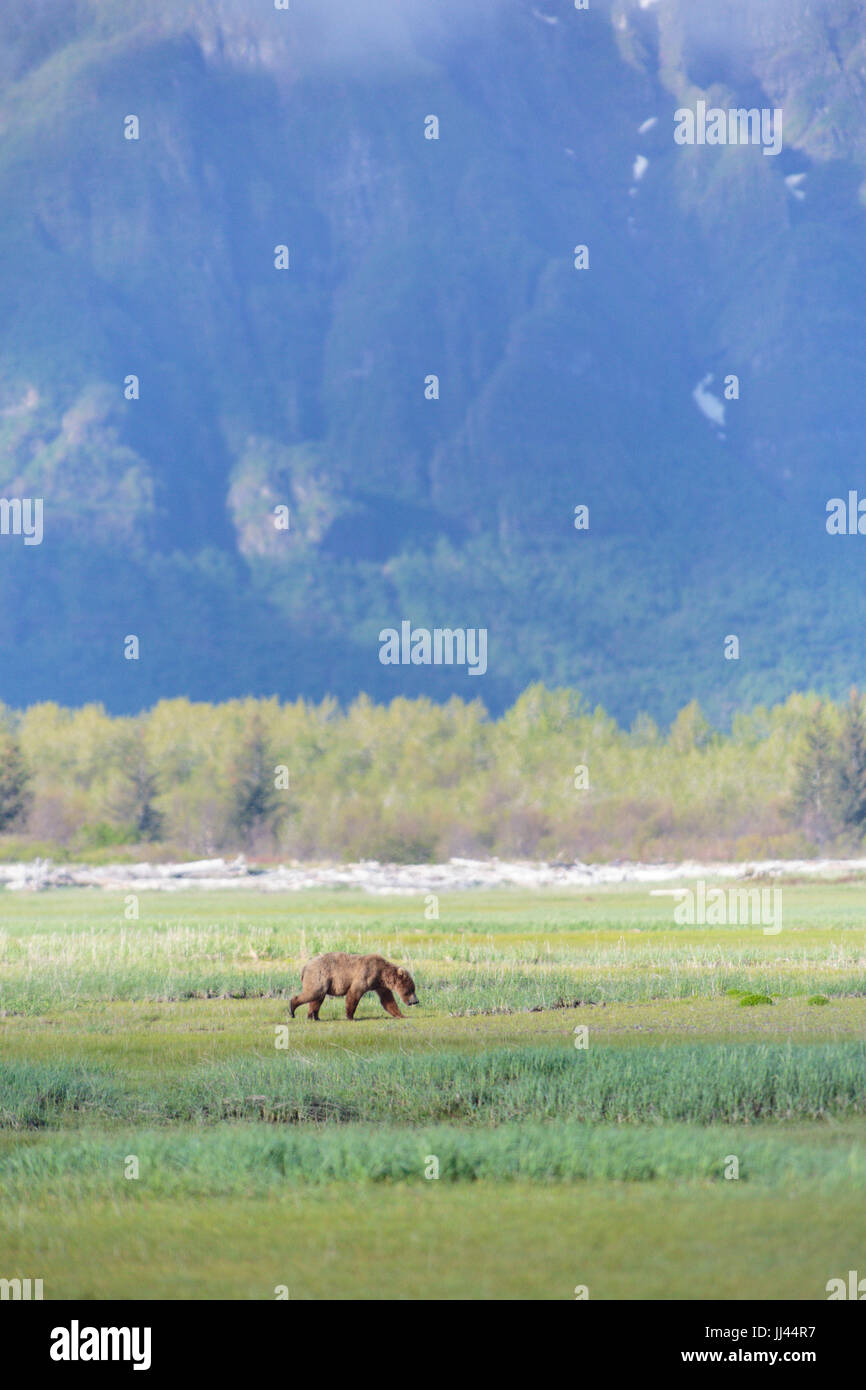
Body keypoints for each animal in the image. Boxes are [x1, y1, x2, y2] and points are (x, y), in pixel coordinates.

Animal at [289, 952, 419, 1021]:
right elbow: (354, 993)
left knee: (317, 998)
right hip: (319, 976)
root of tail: (305, 966)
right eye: (410, 990)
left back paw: (314, 1016)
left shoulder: (380, 985)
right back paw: (292, 1009)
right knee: (314, 993)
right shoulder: (366, 975)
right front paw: (350, 1016)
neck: (382, 974)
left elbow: (388, 1000)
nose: (416, 1001)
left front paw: (402, 1015)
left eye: (413, 989)